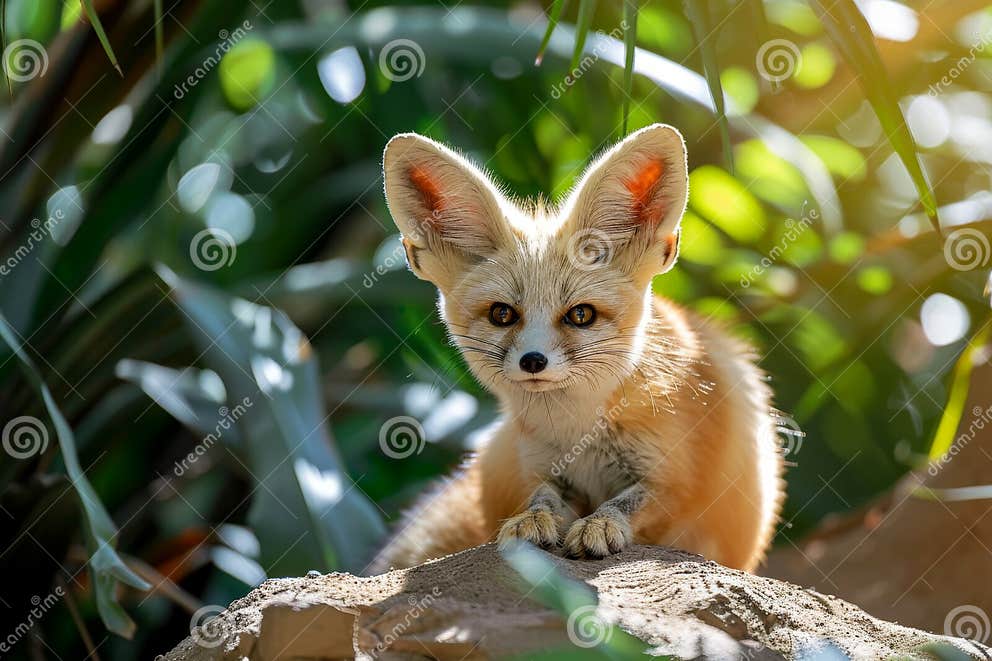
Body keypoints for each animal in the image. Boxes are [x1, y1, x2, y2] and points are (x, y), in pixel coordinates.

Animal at [371, 124, 784, 574]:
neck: (578, 431)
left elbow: (626, 503)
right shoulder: (543, 469)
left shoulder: (678, 479)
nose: (533, 361)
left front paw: (600, 525)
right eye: (502, 314)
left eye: (581, 315)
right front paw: (533, 521)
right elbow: (543, 499)